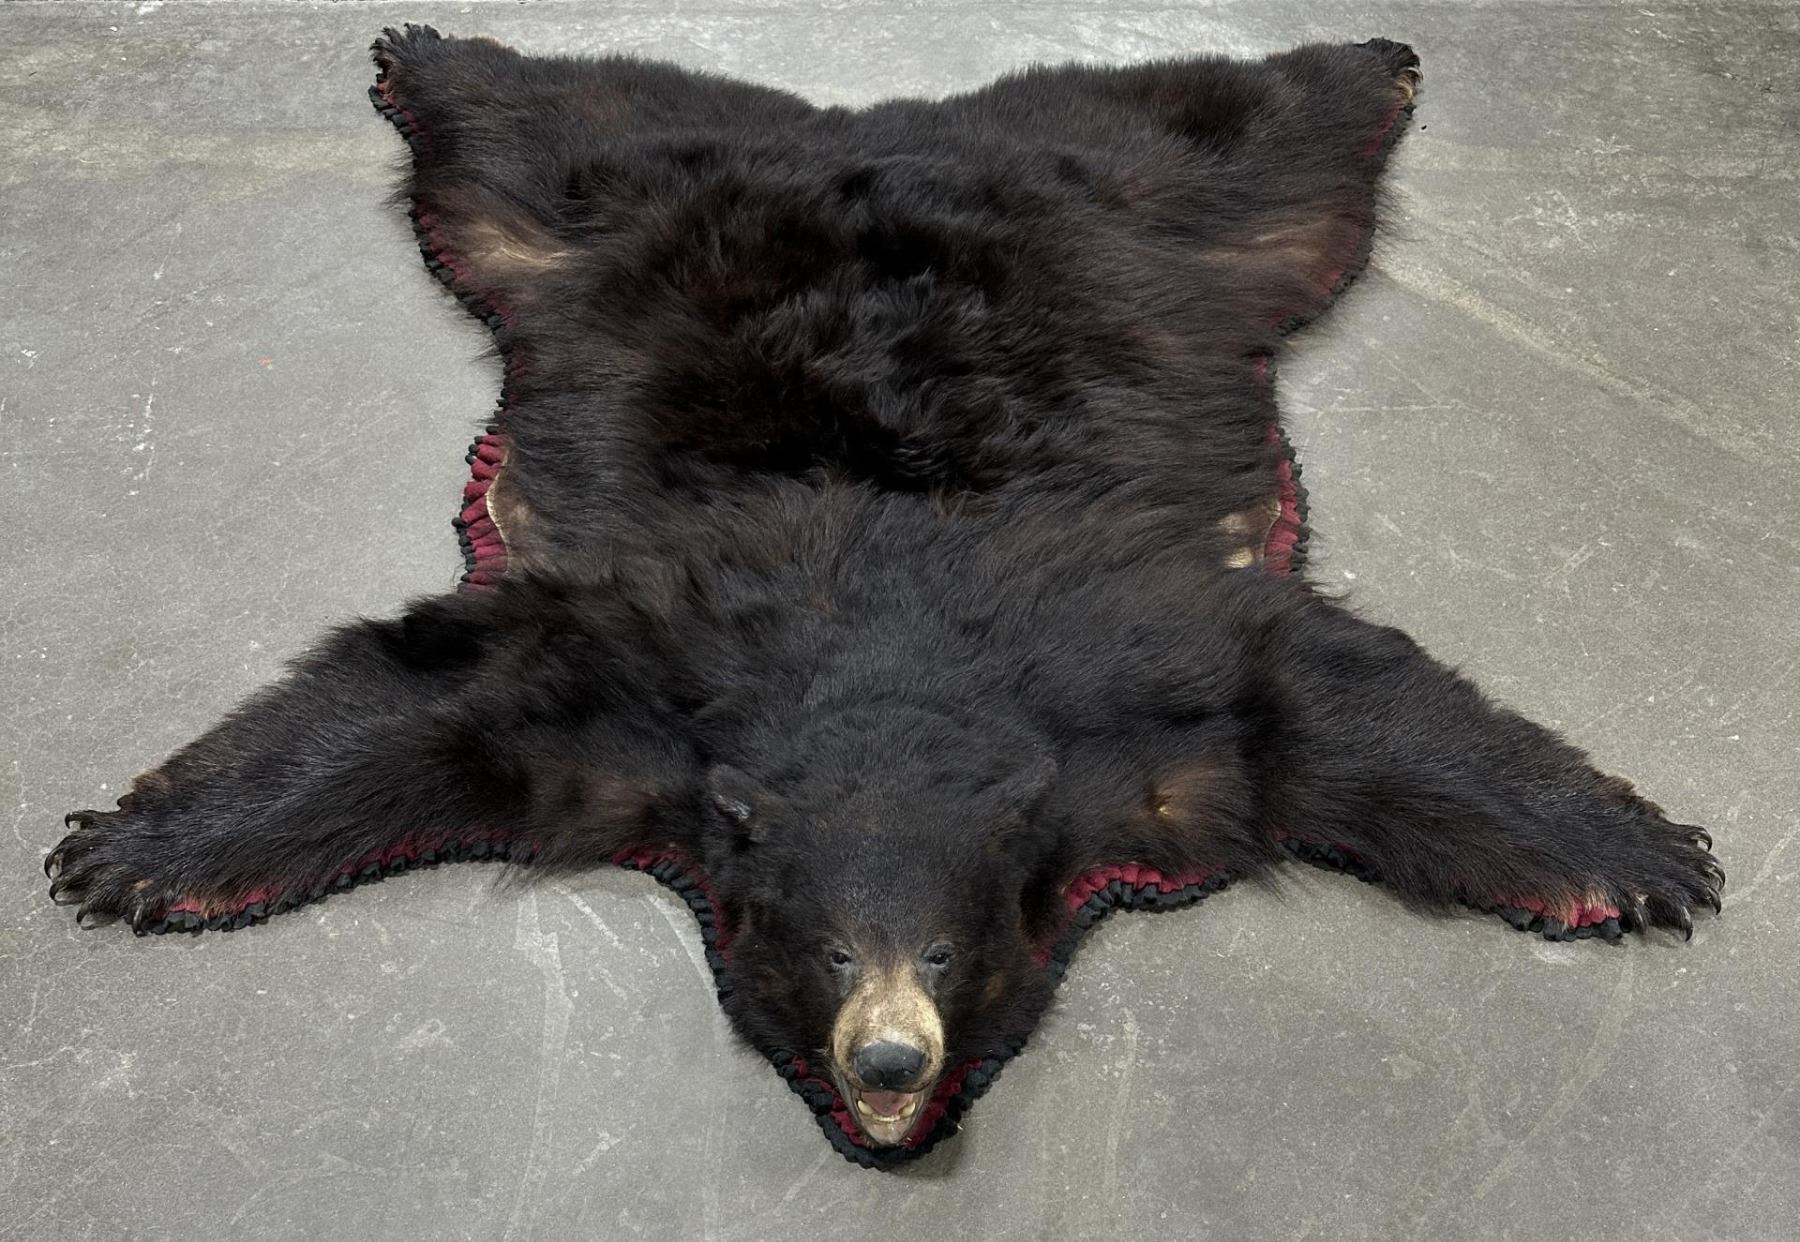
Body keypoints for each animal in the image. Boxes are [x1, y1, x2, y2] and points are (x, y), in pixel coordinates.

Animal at [47, 28, 1721, 1157]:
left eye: (954, 952)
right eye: (831, 951)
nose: (895, 1063)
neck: (893, 689)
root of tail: (889, 121)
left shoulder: (1134, 672)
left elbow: (1331, 701)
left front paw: (1635, 854)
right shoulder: (643, 673)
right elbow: (436, 693)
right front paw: (133, 851)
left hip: (1170, 202)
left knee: (1246, 129)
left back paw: (1377, 61)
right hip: (598, 195)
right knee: (538, 121)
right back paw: (422, 53)